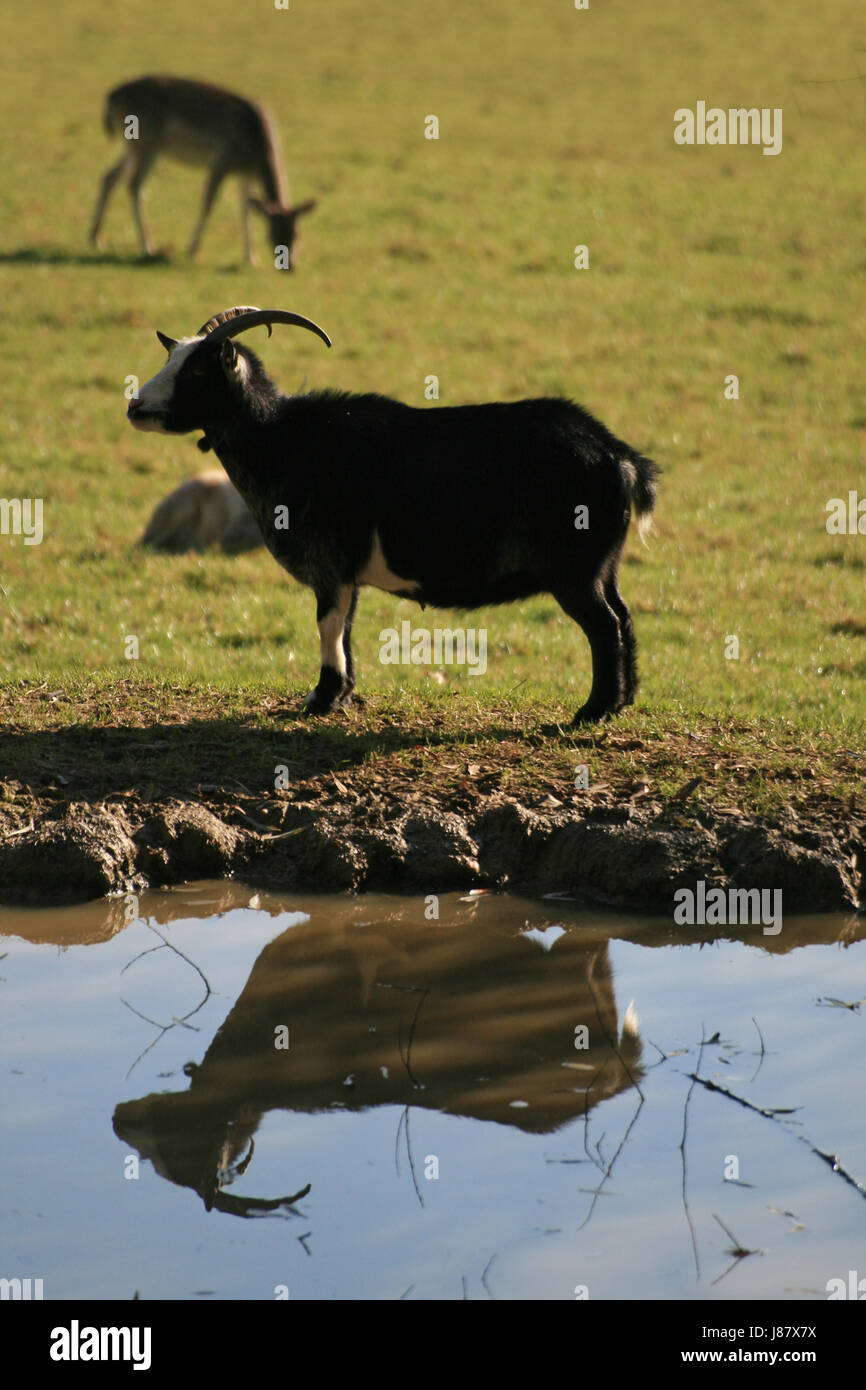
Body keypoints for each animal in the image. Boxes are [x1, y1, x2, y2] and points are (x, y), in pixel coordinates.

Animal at [90, 75, 316, 265]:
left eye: (297, 234)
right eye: (272, 234)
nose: (289, 266)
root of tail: (111, 97)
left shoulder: (246, 174)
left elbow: (246, 210)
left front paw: (251, 258)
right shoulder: (221, 159)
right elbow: (208, 202)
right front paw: (192, 251)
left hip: (131, 147)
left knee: (109, 177)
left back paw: (96, 239)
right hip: (146, 142)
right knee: (134, 184)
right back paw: (148, 247)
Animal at [128, 307, 659, 722]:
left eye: (198, 372)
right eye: (170, 358)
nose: (136, 406)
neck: (283, 439)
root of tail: (619, 456)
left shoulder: (329, 563)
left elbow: (327, 622)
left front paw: (320, 700)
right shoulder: (347, 571)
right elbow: (346, 625)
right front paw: (341, 695)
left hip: (575, 570)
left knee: (604, 625)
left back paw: (591, 712)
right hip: (603, 565)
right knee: (624, 615)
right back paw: (623, 703)